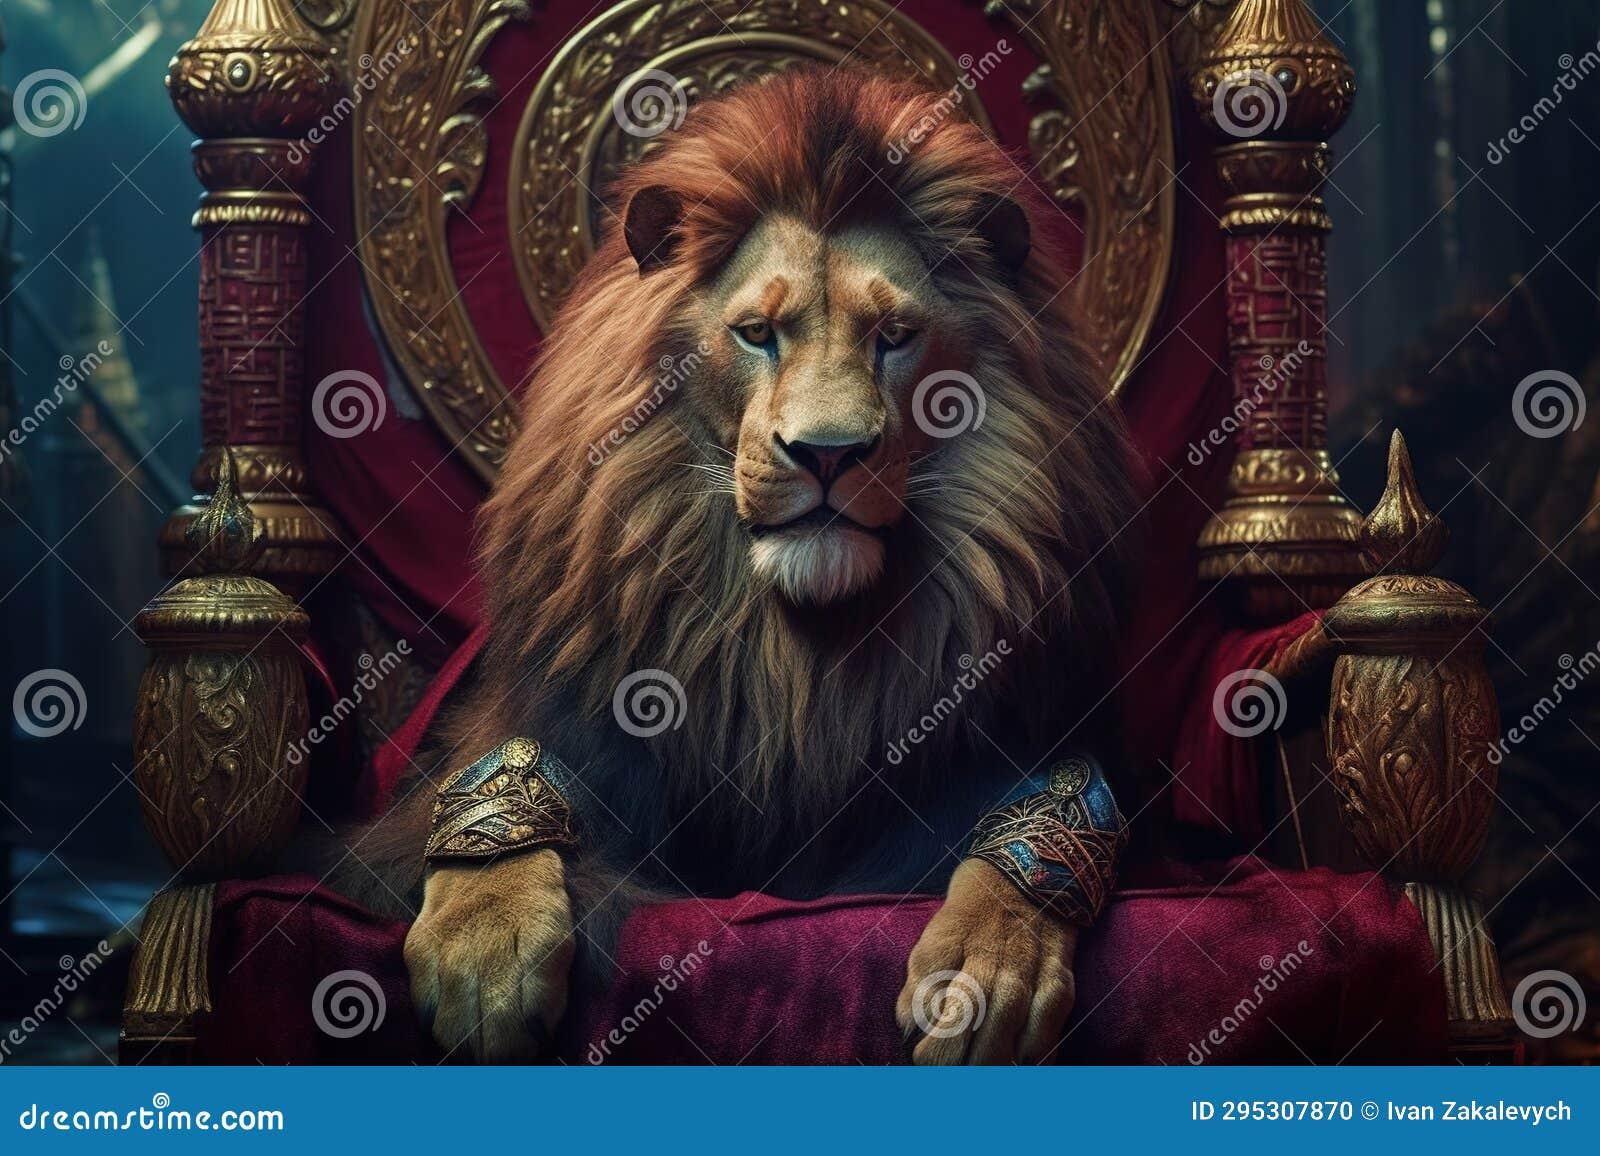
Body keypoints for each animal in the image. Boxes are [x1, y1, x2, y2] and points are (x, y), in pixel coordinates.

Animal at [349, 65, 1138, 1064]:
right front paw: (484, 949)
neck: (787, 661)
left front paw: (989, 968)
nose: (829, 454)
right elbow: (495, 786)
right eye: (758, 332)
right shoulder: (559, 727)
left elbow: (1042, 818)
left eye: (895, 336)